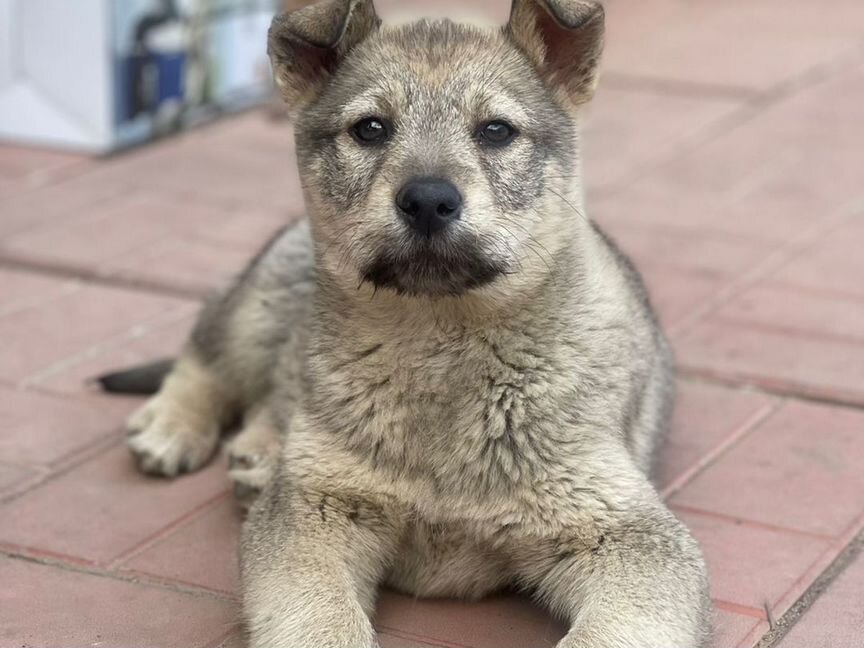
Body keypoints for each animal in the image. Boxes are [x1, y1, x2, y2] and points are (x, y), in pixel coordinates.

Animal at [101, 2, 712, 644]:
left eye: (496, 130)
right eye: (370, 128)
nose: (427, 201)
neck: (443, 346)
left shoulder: (626, 534)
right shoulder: (311, 513)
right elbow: (322, 619)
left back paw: (259, 451)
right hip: (263, 302)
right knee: (210, 351)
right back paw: (174, 425)